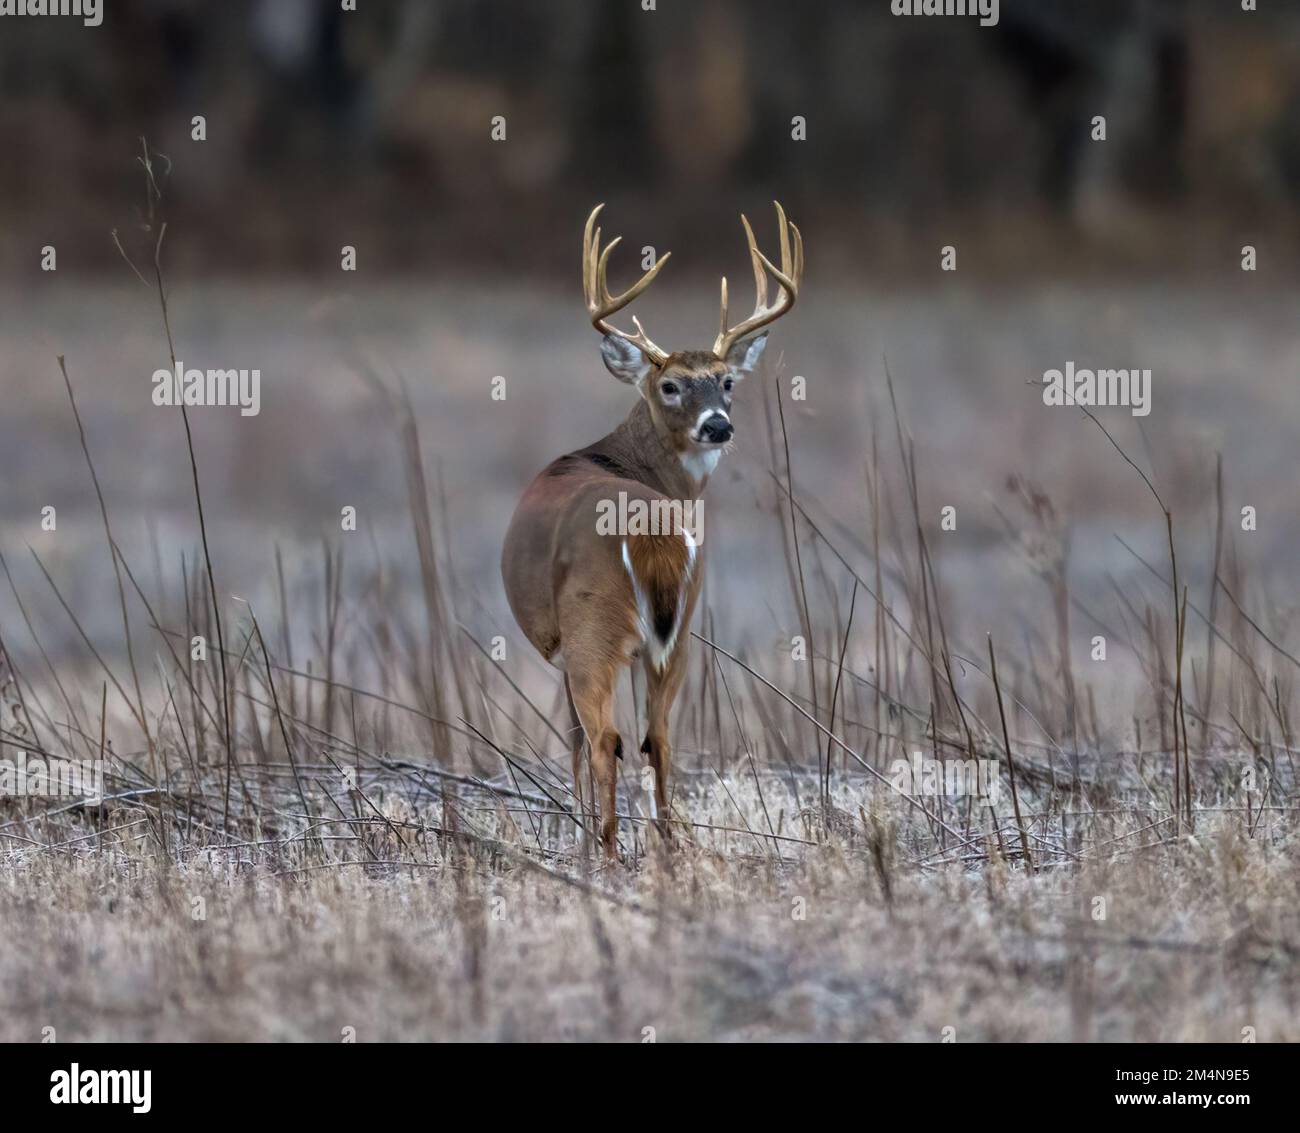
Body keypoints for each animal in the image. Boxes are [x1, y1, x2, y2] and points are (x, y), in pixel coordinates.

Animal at [501, 201, 803, 857]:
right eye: (671, 385)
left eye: (727, 382)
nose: (718, 425)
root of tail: (651, 528)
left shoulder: (563, 647)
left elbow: (575, 744)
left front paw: (580, 841)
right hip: (682, 633)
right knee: (659, 738)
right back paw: (667, 850)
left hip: (592, 631)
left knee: (606, 739)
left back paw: (608, 852)